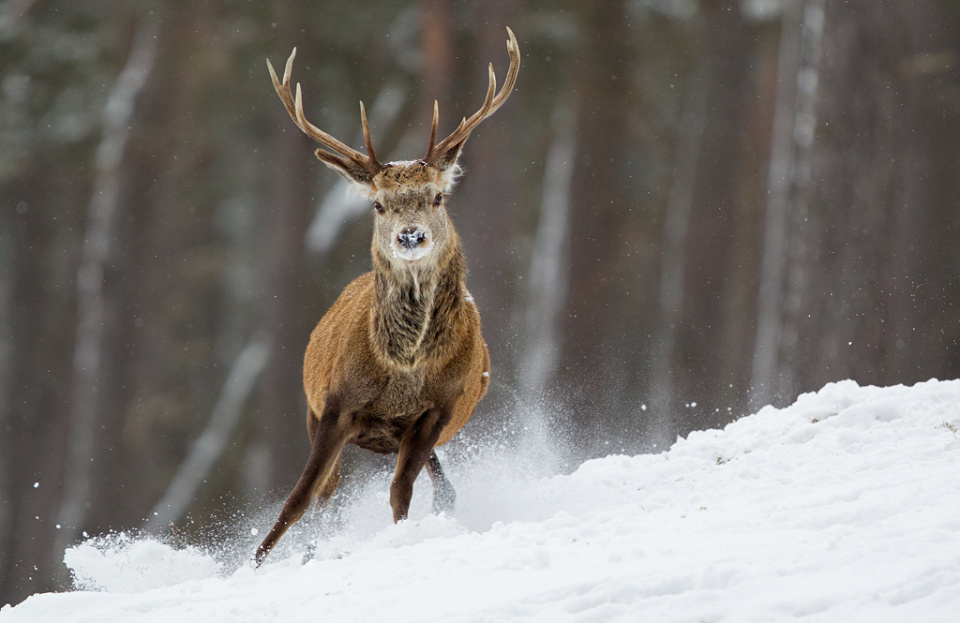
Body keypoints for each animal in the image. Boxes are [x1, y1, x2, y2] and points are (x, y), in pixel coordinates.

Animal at [253, 28, 520, 566]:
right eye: (378, 204)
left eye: (438, 196)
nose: (411, 236)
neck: (403, 370)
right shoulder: (335, 404)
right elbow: (297, 497)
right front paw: (252, 563)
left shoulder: (435, 411)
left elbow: (401, 493)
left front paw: (398, 542)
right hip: (316, 413)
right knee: (327, 494)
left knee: (441, 489)